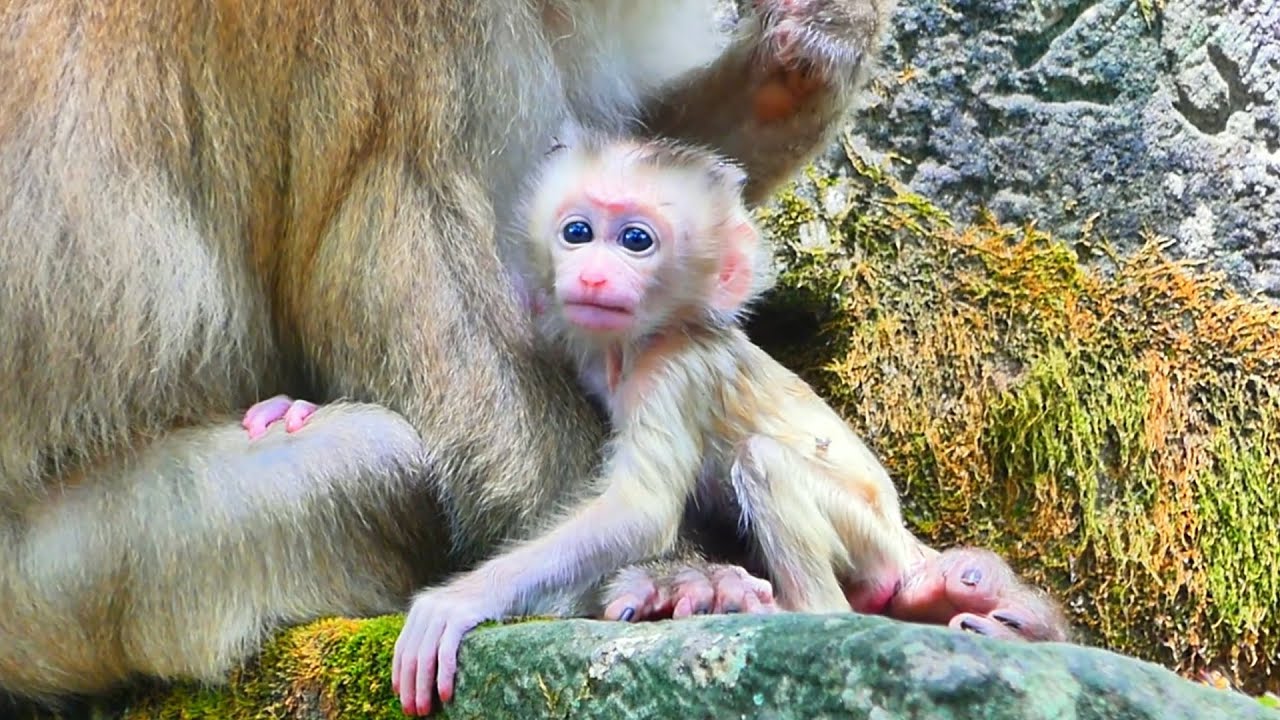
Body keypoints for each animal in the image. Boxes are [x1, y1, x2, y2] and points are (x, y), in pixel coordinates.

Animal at [0, 0, 1068, 714]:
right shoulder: (384, 29)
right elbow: (415, 267)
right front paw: (670, 579)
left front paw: (794, 69)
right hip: (59, 596)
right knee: (378, 461)